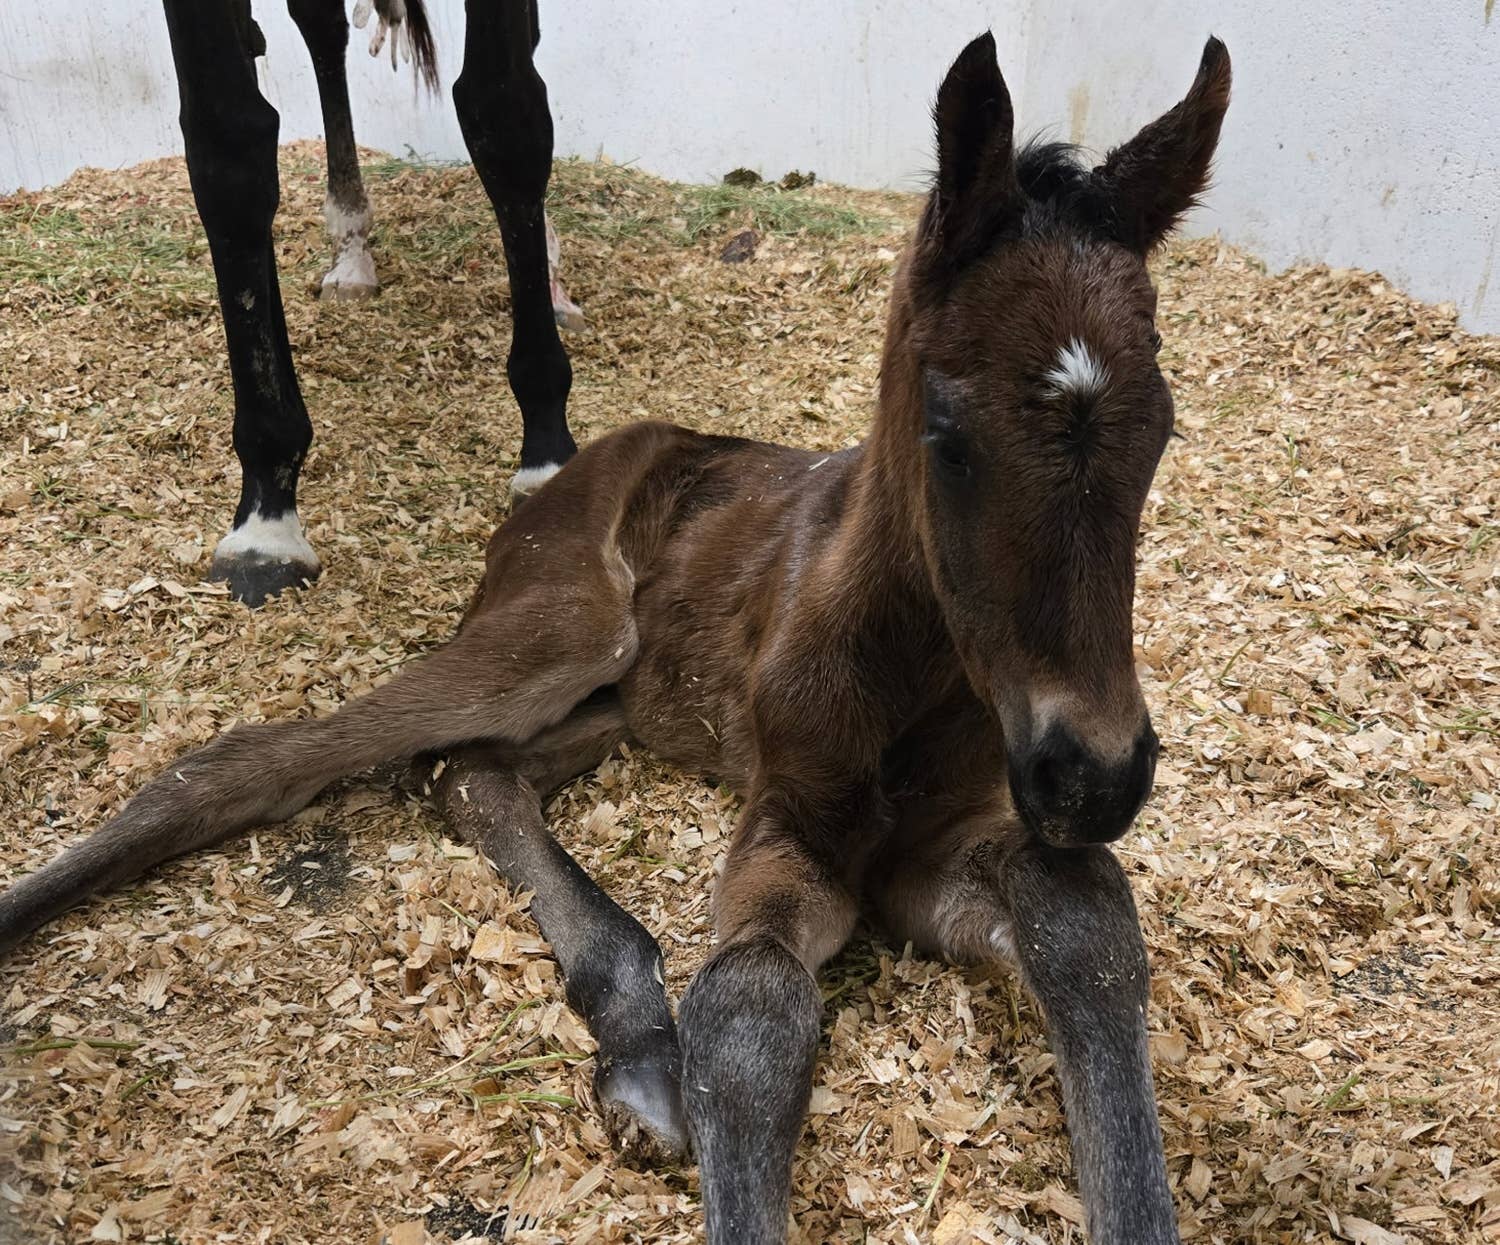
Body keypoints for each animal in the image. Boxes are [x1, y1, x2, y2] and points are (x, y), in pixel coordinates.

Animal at [165, 0, 579, 605]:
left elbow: (505, 115)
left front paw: (546, 449)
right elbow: (229, 151)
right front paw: (266, 519)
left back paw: (551, 281)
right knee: (319, 26)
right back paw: (351, 250)